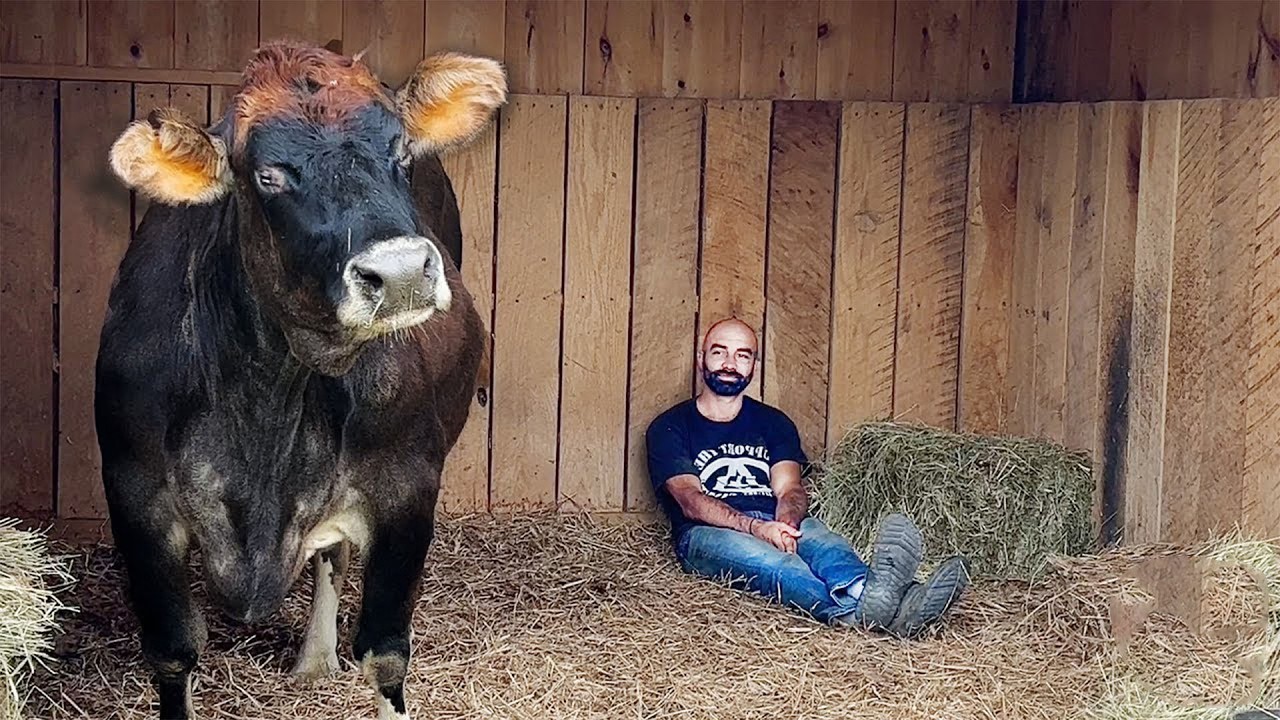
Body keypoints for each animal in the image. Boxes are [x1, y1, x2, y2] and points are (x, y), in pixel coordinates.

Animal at [96, 39, 506, 720]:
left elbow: (385, 656)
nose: (400, 273)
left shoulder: (407, 485)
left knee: (332, 557)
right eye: (267, 175)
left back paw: (315, 659)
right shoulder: (134, 494)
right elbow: (173, 653)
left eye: (399, 149)